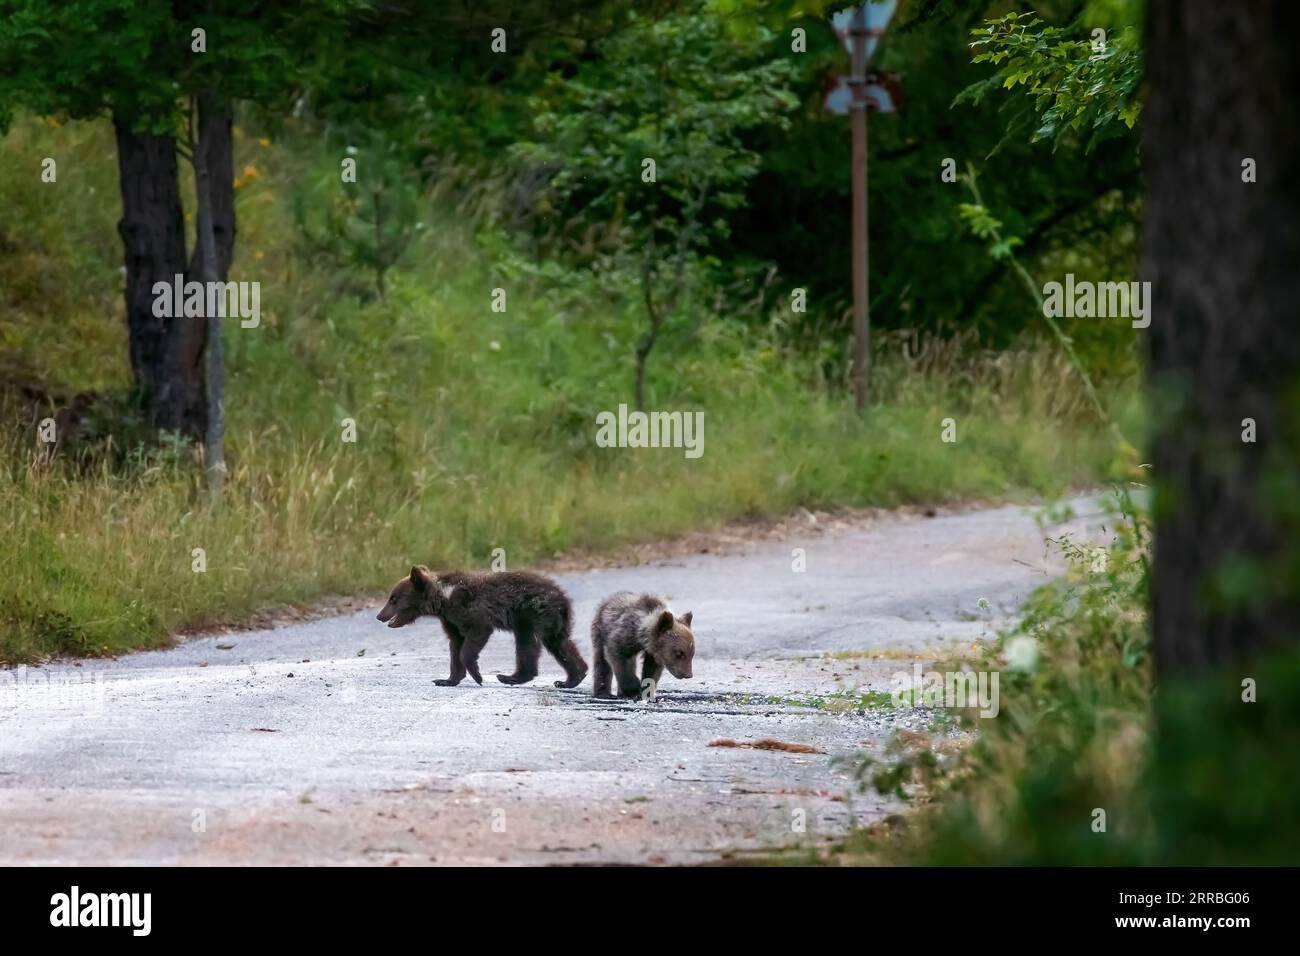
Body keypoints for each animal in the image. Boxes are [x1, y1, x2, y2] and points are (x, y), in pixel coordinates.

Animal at [377, 566, 588, 689]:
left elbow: (475, 635)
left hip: (530, 614)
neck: (443, 599)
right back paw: (571, 678)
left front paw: (477, 676)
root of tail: (562, 598)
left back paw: (510, 677)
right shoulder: (450, 621)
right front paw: (447, 679)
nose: (379, 615)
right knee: (560, 644)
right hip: (552, 622)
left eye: (393, 599)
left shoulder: (468, 609)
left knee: (527, 643)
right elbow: (455, 645)